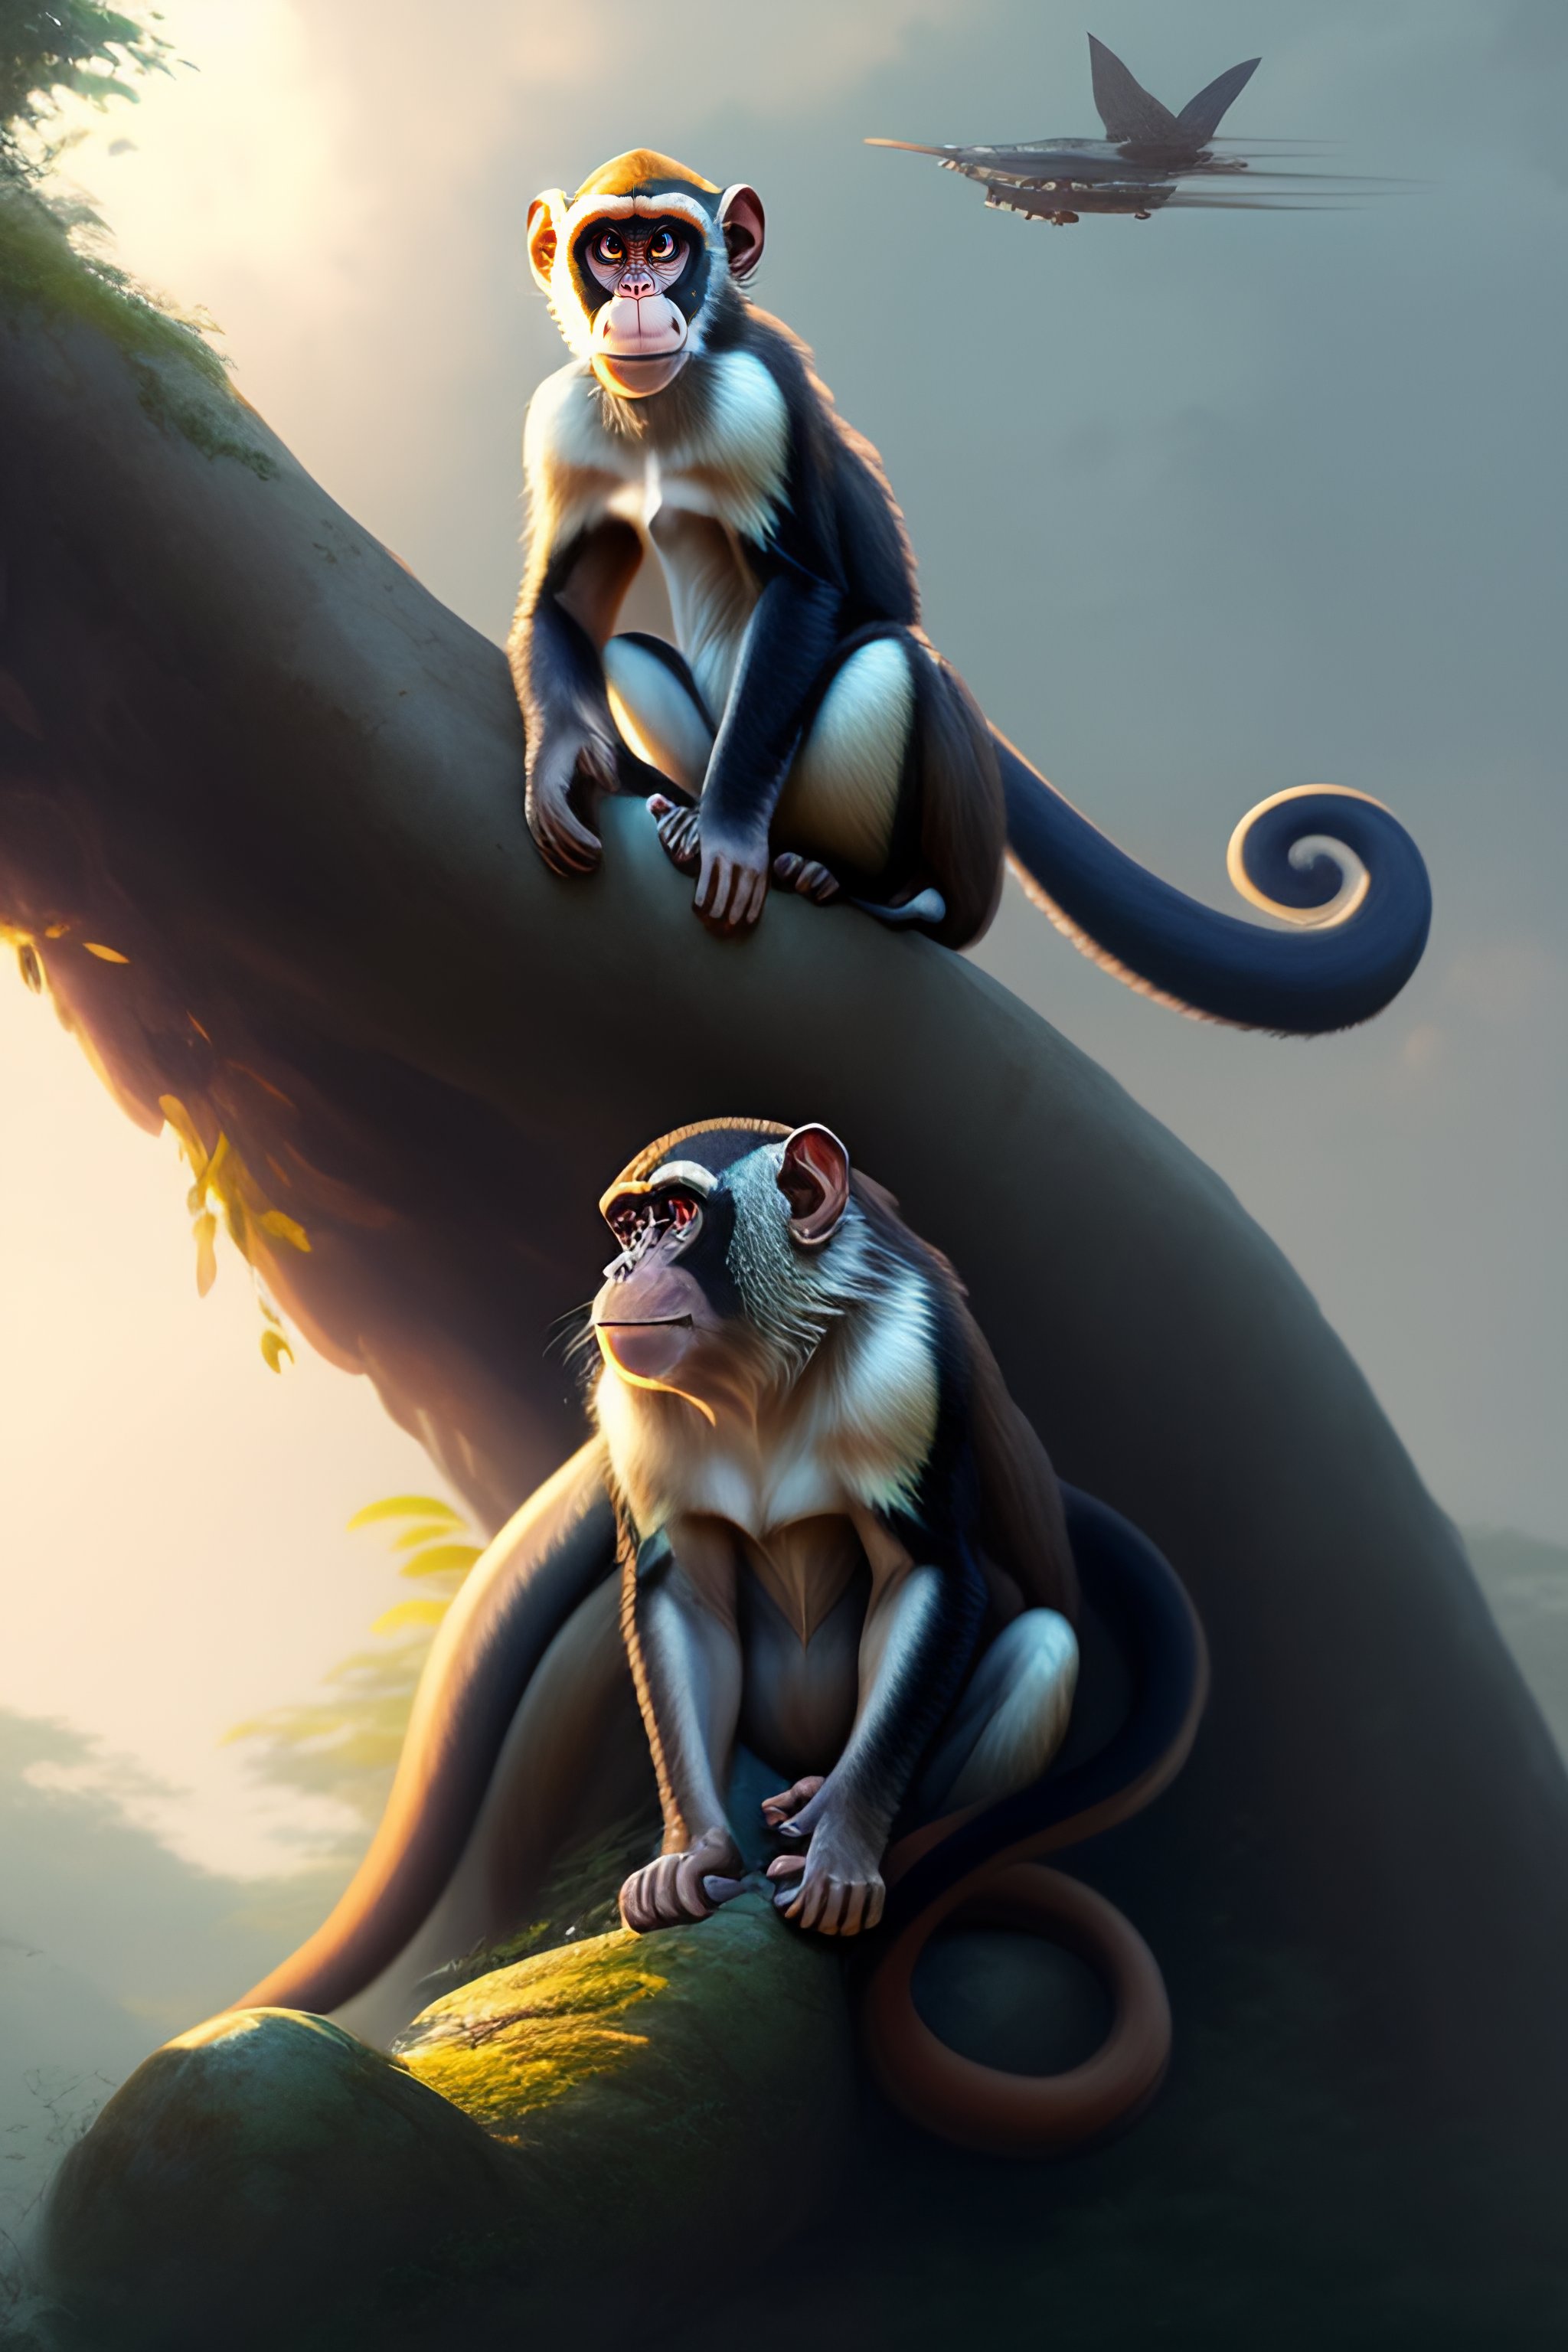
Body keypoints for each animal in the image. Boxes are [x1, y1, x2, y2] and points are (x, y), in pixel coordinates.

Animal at [509, 148, 1433, 1032]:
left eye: (665, 245)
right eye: (608, 249)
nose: (635, 295)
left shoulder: (759, 402)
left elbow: (808, 590)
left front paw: (729, 834)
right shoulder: (564, 420)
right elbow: (567, 601)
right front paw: (561, 763)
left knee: (893, 663)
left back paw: (884, 891)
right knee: (632, 651)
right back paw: (707, 825)